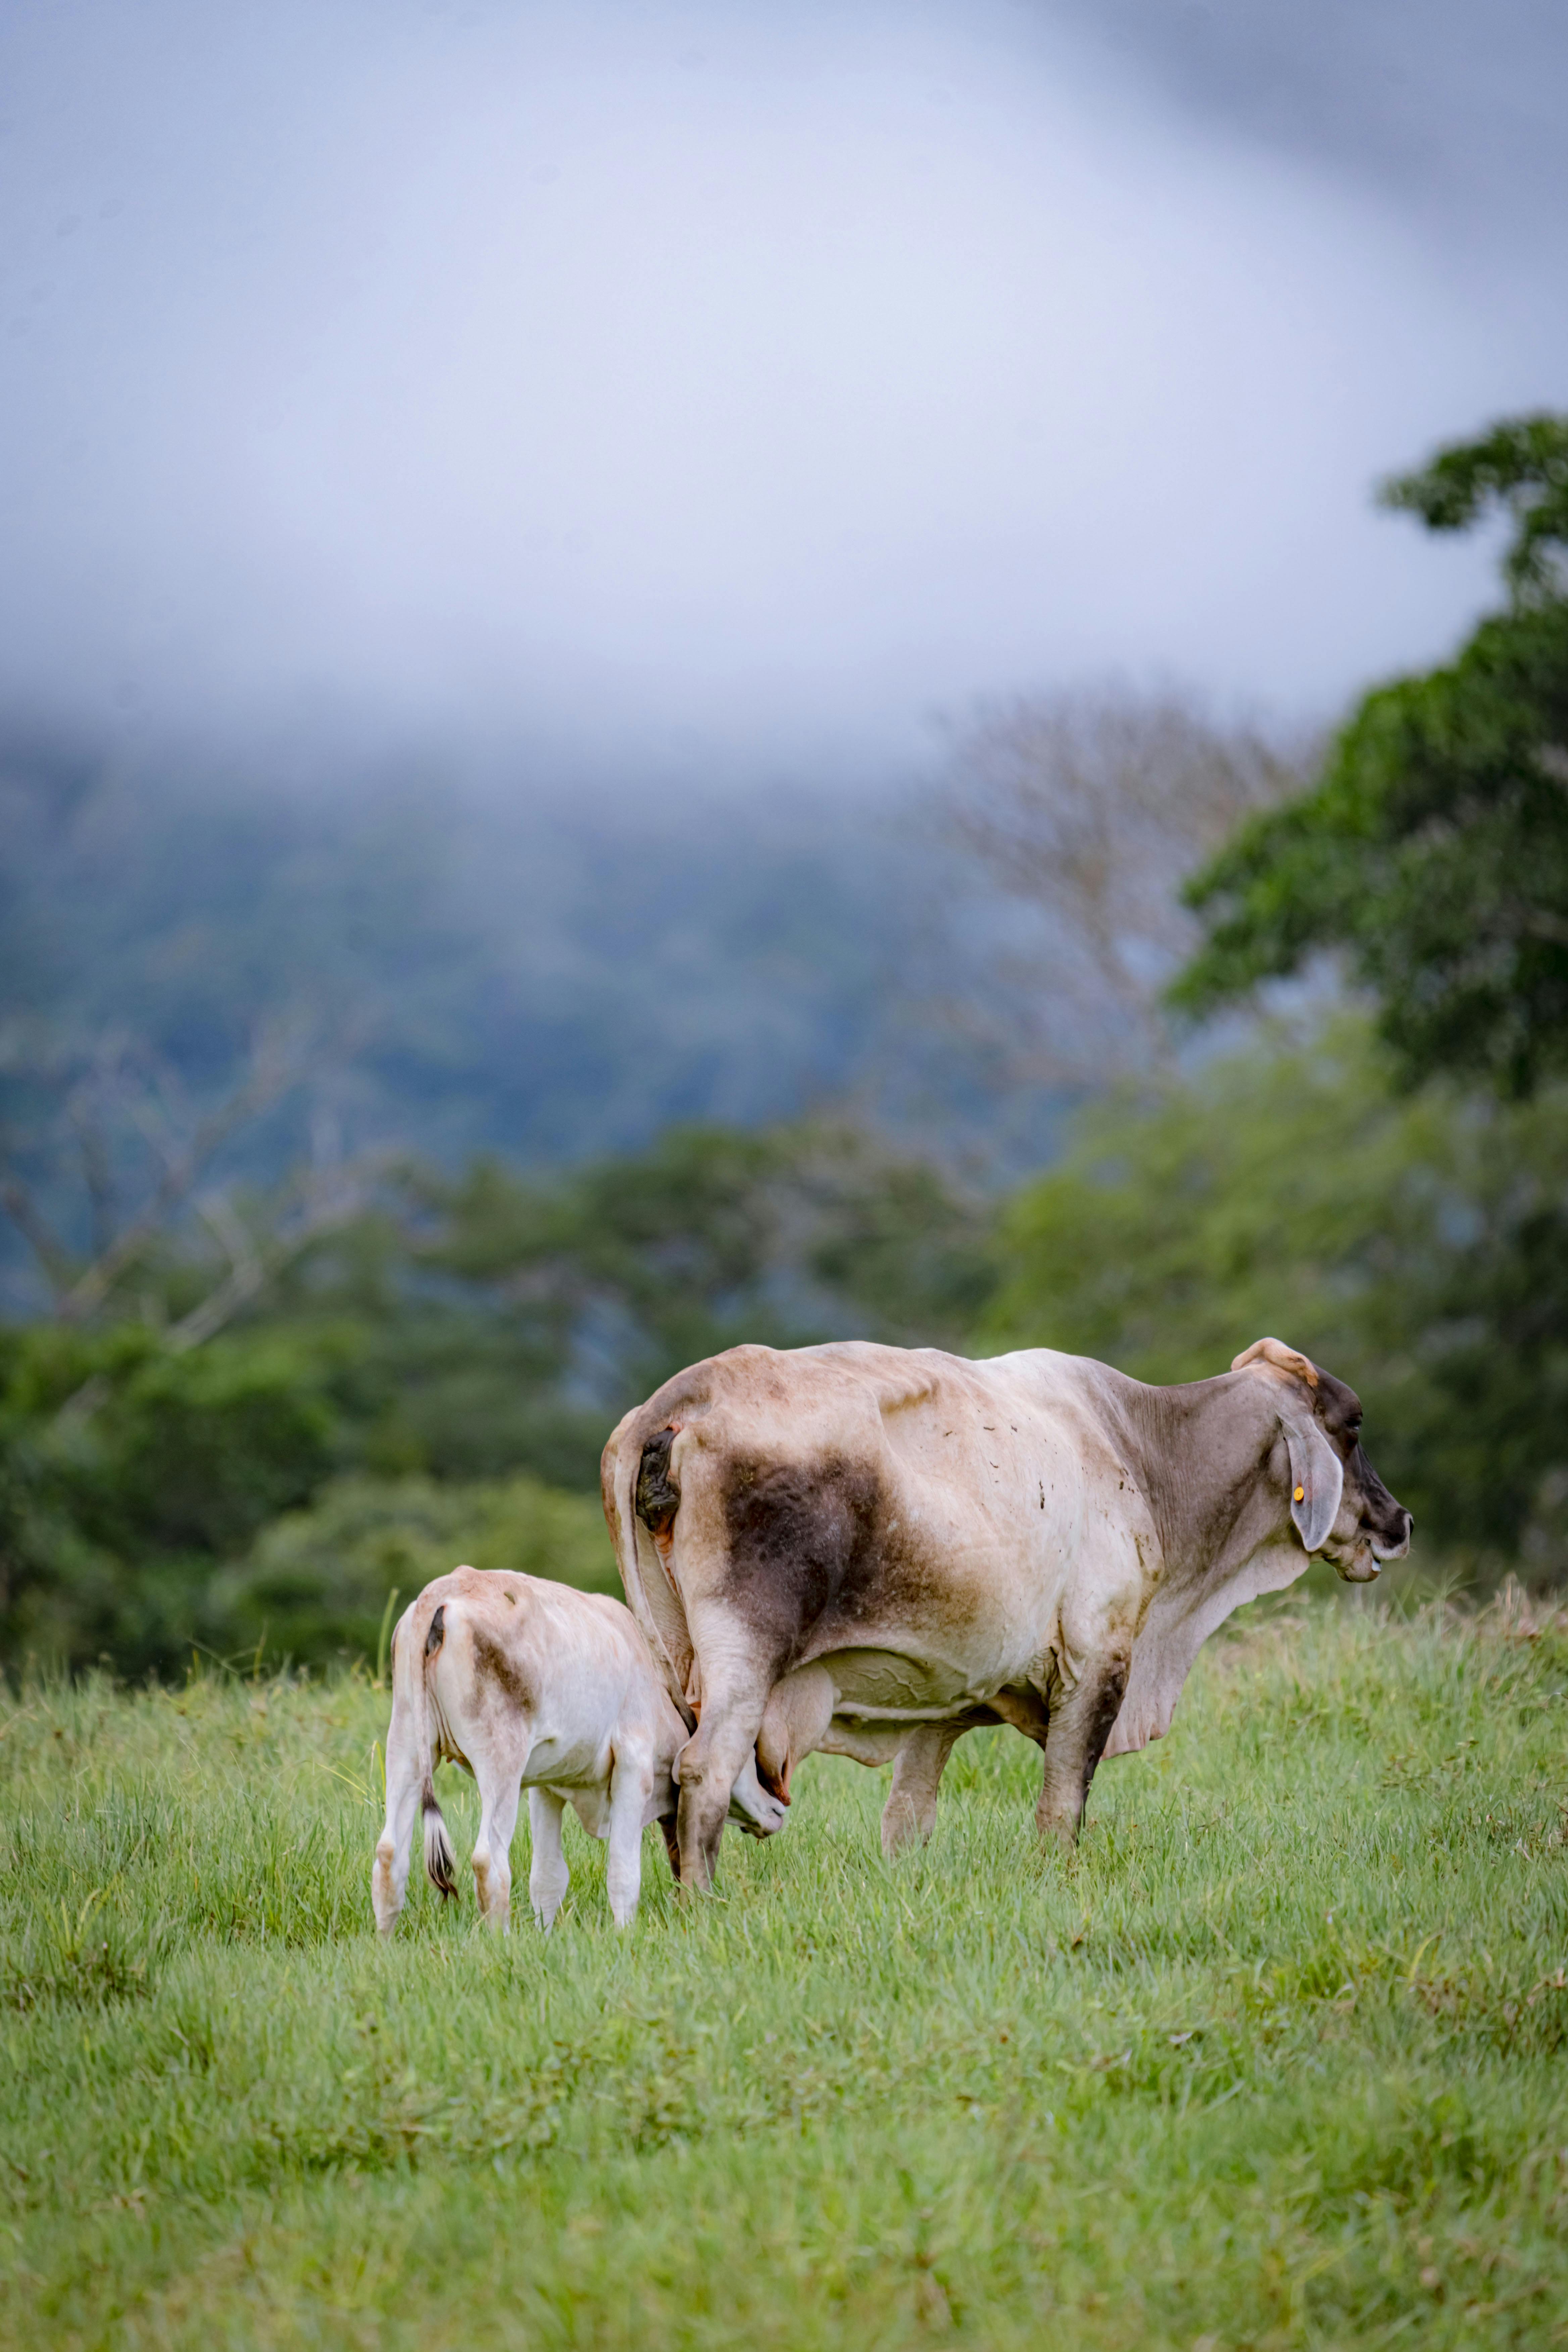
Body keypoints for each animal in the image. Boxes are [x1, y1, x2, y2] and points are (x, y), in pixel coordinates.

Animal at [371, 1566, 786, 1935]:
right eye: (749, 1752)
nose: (780, 1807)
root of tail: (443, 1592)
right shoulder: (634, 1767)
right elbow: (623, 1872)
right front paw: (624, 1936)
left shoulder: (546, 1787)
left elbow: (548, 1877)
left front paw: (545, 1938)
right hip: (500, 1760)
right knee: (489, 1861)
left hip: (406, 1747)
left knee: (390, 1854)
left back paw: (386, 1944)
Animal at [601, 1336, 1412, 1891]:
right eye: (1352, 1425)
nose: (1397, 1523)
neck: (1143, 1449)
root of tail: (682, 1398)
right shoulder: (1097, 1660)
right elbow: (1062, 1806)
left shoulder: (939, 1701)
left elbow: (907, 1819)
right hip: (747, 1649)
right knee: (705, 1768)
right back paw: (704, 1904)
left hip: (674, 1656)